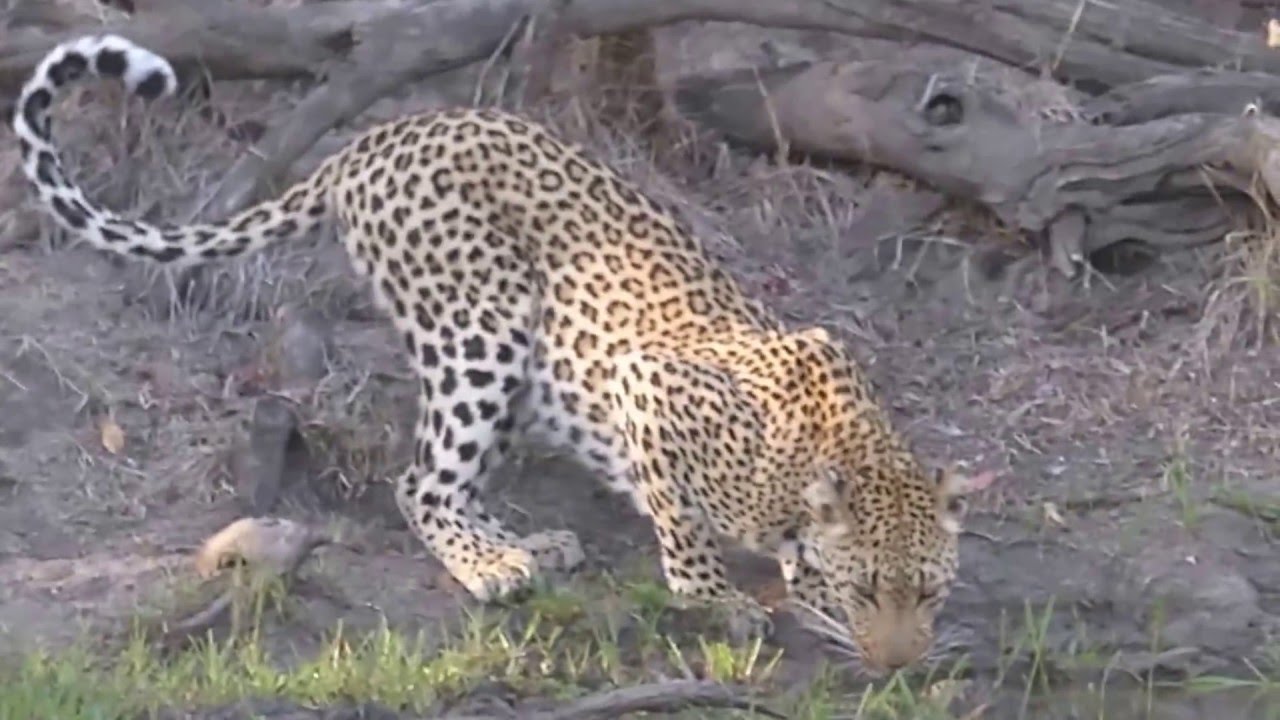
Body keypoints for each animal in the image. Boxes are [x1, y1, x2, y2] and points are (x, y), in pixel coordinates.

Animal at [12, 34, 995, 673]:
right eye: (863, 591)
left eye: (928, 593)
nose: (901, 666)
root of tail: (375, 140)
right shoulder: (648, 382)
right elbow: (680, 523)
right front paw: (711, 596)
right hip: (479, 331)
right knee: (420, 482)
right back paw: (491, 567)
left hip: (514, 370)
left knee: (457, 478)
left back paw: (528, 544)